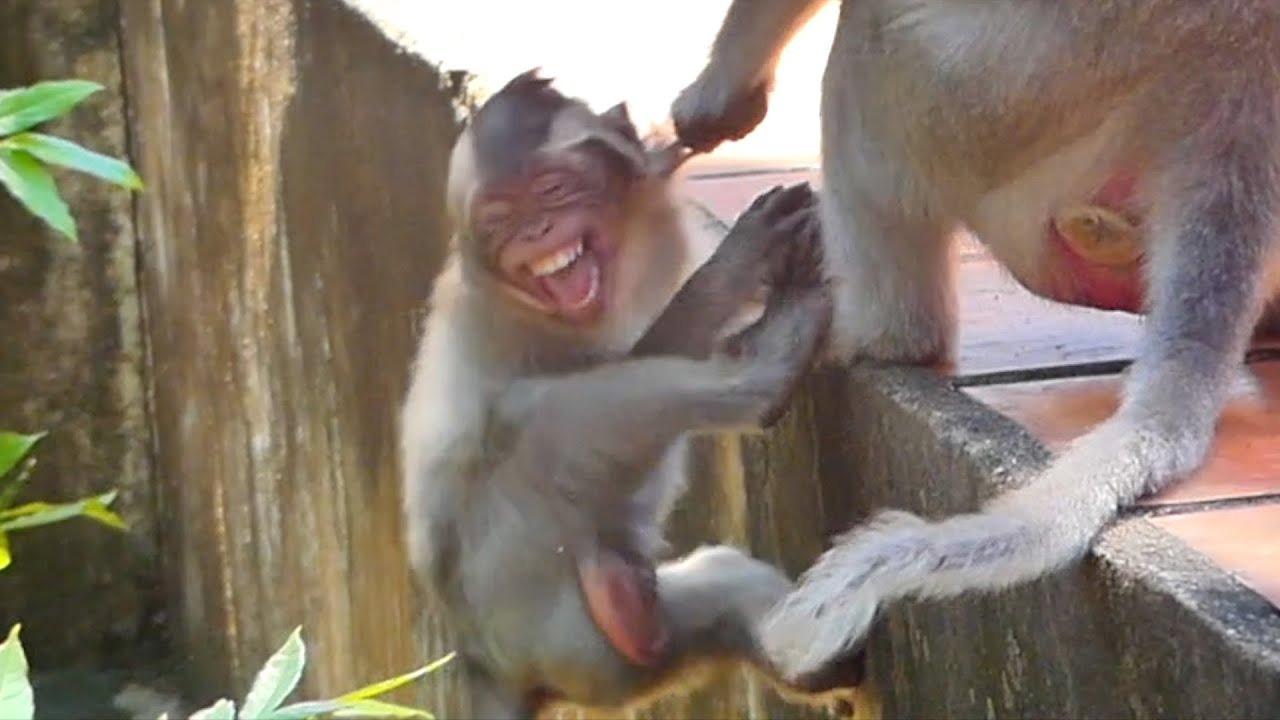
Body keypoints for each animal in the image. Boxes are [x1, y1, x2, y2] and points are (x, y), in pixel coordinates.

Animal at [399, 70, 856, 719]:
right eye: (500, 220)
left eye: (553, 190)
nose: (535, 232)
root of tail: (488, 662)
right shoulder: (501, 322)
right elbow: (643, 351)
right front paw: (735, 264)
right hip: (519, 587)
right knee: (547, 417)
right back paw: (765, 370)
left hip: (609, 651)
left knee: (712, 592)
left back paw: (803, 657)